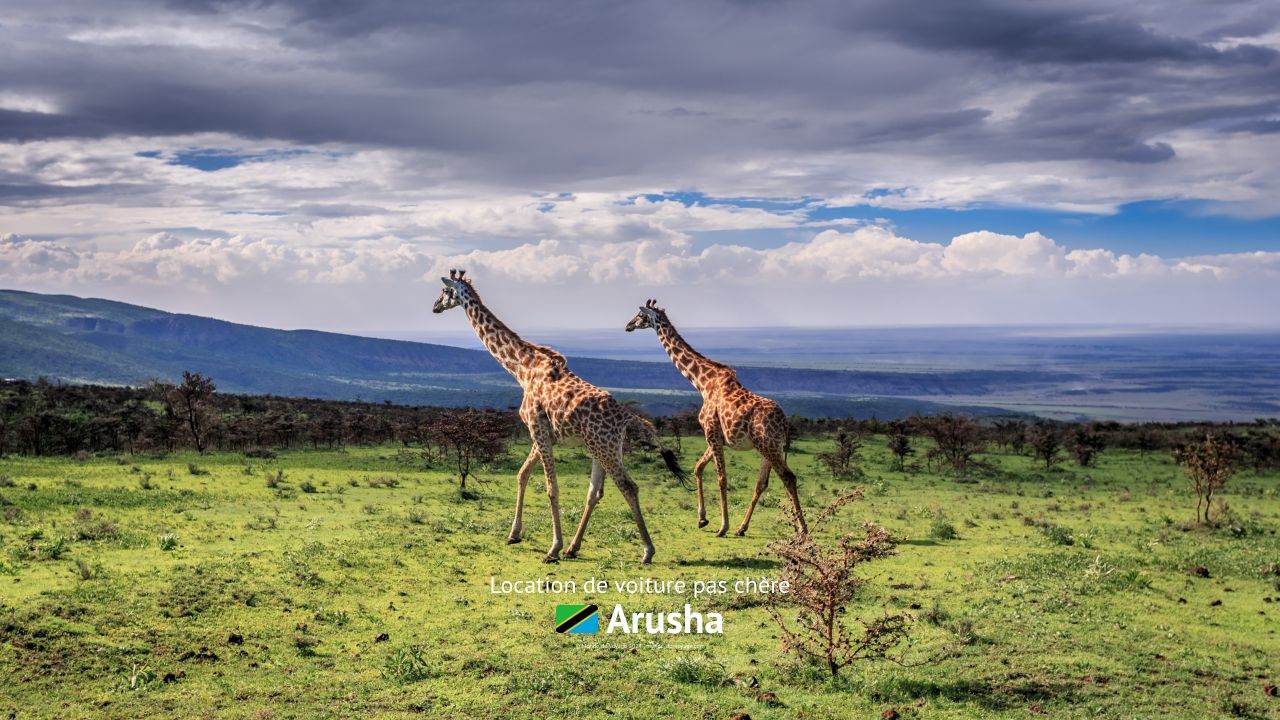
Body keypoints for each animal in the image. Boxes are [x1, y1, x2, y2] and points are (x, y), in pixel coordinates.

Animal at [432, 267, 691, 561]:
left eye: (445, 291)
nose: (434, 307)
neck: (522, 369)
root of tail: (627, 416)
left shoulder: (537, 429)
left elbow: (551, 488)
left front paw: (552, 548)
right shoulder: (543, 434)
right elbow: (522, 475)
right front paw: (514, 534)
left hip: (604, 448)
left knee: (628, 486)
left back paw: (646, 551)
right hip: (602, 447)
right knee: (595, 492)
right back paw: (573, 547)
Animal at [622, 294, 808, 535]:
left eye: (640, 315)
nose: (627, 326)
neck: (702, 383)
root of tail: (785, 423)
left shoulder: (711, 432)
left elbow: (721, 477)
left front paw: (722, 526)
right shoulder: (718, 437)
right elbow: (698, 468)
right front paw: (702, 519)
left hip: (768, 446)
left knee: (788, 477)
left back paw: (802, 528)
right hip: (768, 447)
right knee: (763, 483)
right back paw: (742, 528)